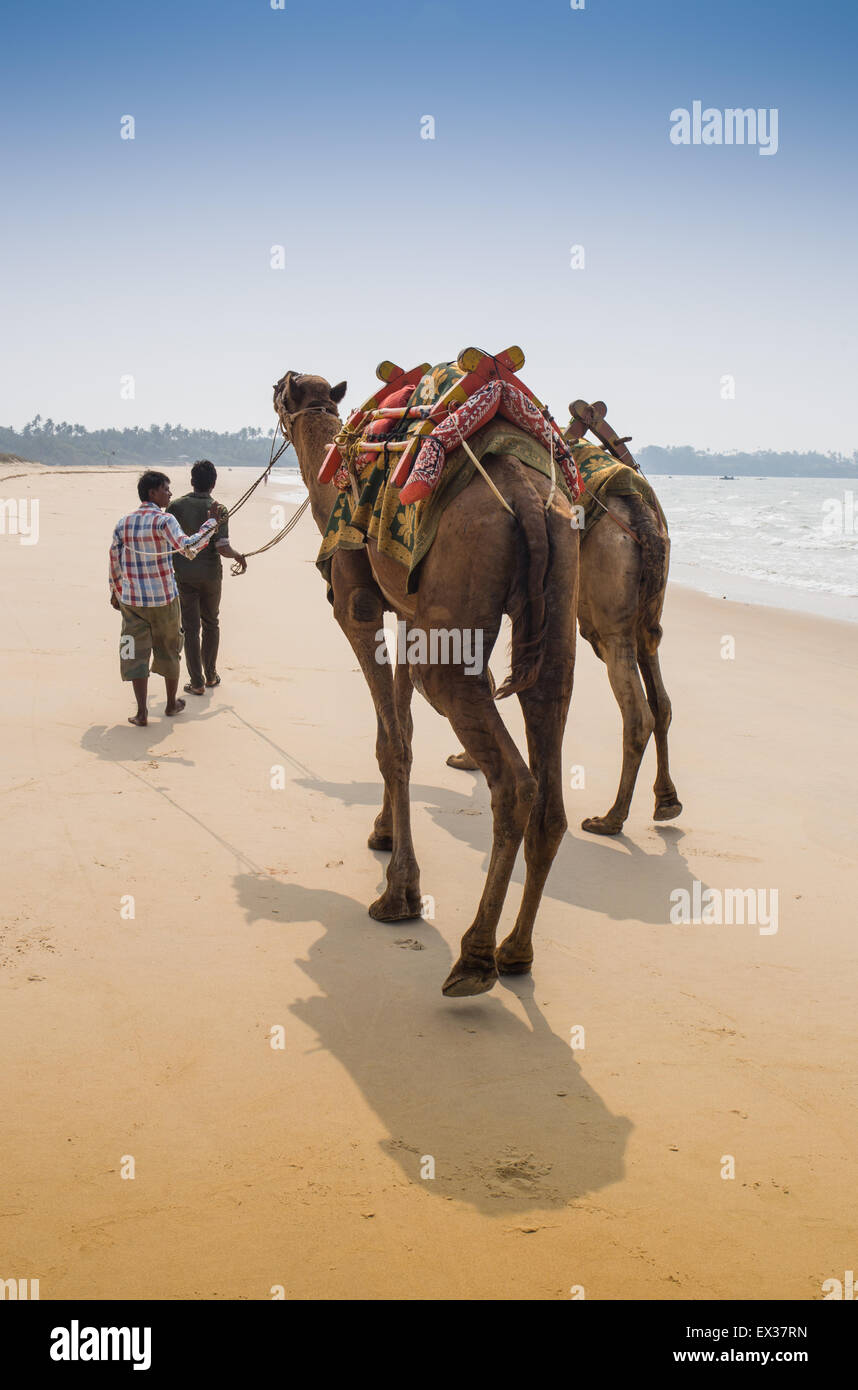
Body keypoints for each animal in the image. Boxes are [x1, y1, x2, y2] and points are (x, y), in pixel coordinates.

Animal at [272, 369, 579, 997]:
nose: (273, 393)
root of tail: (528, 498)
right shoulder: (410, 612)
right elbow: (402, 728)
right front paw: (384, 832)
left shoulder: (358, 606)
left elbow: (392, 742)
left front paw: (399, 893)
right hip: (559, 589)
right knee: (549, 727)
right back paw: (516, 952)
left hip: (461, 597)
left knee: (513, 780)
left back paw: (474, 959)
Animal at [448, 453, 682, 836]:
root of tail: (641, 517)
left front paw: (466, 758)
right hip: (645, 611)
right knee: (661, 701)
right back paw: (666, 803)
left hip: (606, 622)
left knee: (637, 713)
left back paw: (609, 819)